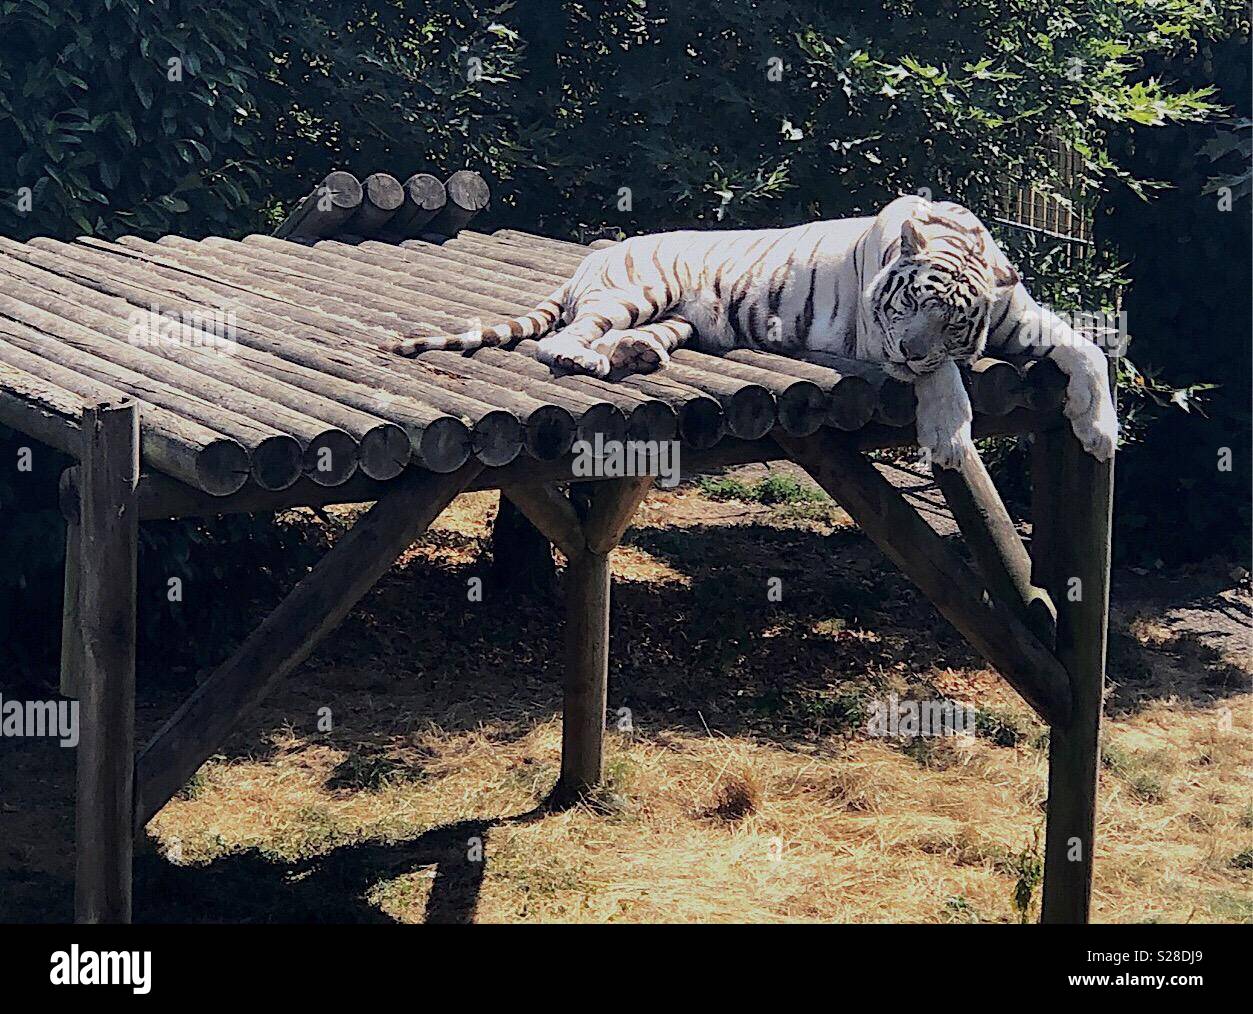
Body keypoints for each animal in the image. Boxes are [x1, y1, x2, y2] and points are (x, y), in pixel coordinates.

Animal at [390, 195, 1118, 469]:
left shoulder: (1021, 314)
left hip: (675, 316)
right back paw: (587, 362)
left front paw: (1100, 433)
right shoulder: (874, 336)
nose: (909, 350)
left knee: (635, 336)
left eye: (955, 319)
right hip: (634, 291)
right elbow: (939, 377)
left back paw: (634, 354)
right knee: (561, 339)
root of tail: (589, 259)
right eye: (910, 303)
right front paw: (948, 437)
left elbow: (1088, 349)